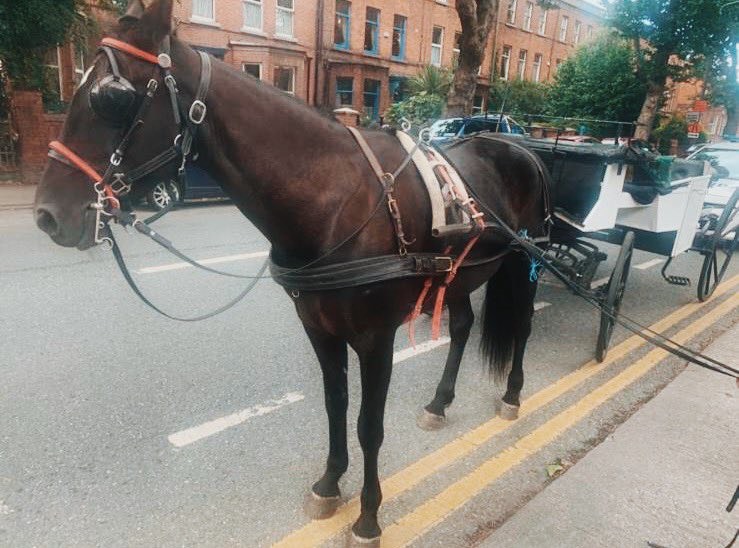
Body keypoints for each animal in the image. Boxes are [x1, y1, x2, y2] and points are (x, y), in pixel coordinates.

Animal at [34, 0, 550, 543]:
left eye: (112, 96)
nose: (47, 215)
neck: (338, 198)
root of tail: (518, 145)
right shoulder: (320, 329)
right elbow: (335, 405)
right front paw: (330, 482)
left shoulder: (376, 339)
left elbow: (369, 425)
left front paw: (369, 515)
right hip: (460, 274)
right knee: (463, 325)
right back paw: (440, 402)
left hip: (525, 261)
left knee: (521, 326)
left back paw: (513, 393)